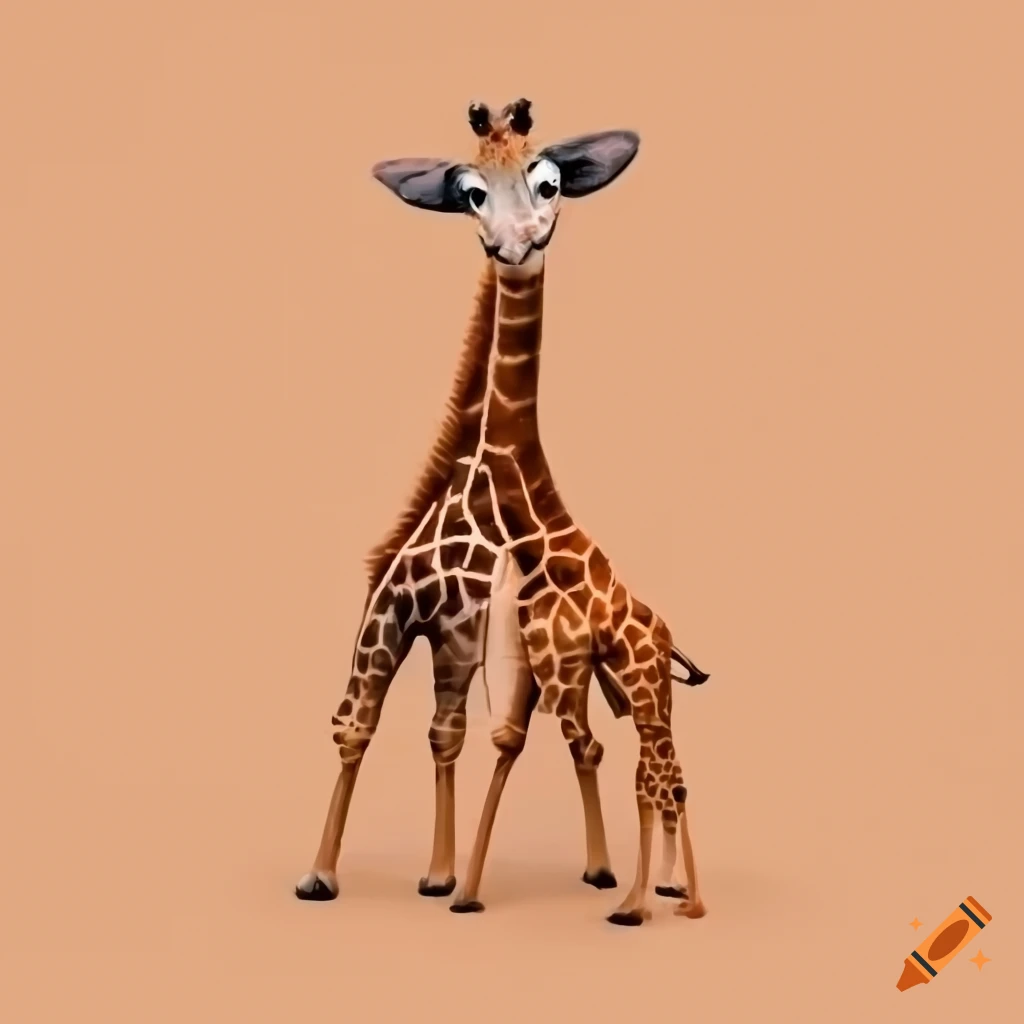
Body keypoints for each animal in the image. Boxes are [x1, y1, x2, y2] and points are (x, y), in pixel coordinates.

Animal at [294, 98, 710, 926]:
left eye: (549, 182)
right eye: (470, 193)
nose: (514, 242)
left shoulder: (475, 638)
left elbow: (478, 737)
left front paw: (458, 882)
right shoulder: (401, 617)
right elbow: (364, 726)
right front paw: (329, 876)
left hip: (592, 674)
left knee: (627, 757)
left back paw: (628, 888)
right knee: (595, 750)